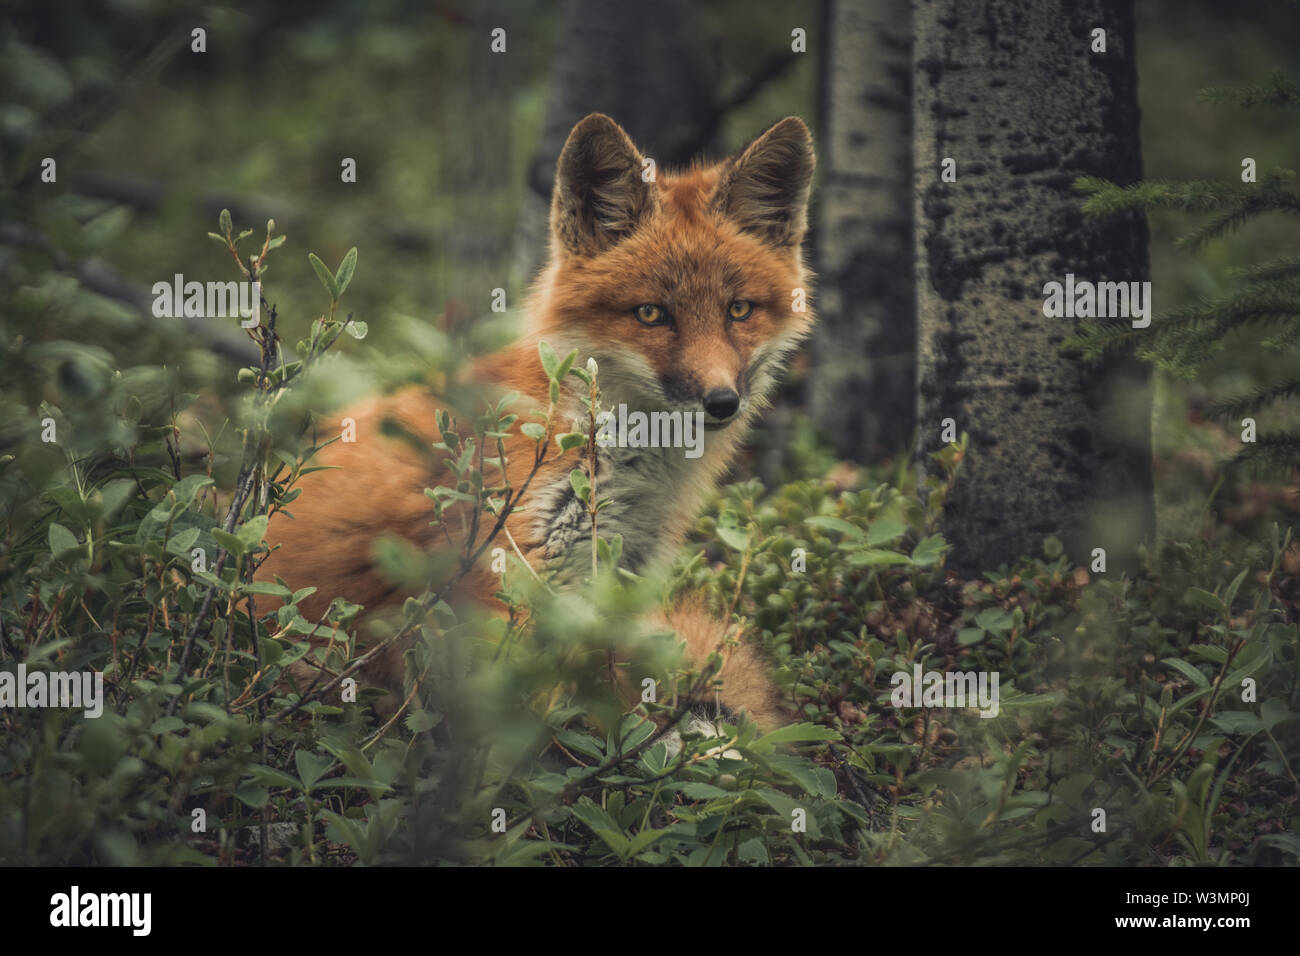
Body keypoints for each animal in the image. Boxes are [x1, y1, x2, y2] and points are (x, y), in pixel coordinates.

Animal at [257, 113, 816, 732]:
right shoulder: (507, 575)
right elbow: (526, 719)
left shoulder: (617, 580)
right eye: (651, 314)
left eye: (738, 310)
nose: (721, 402)